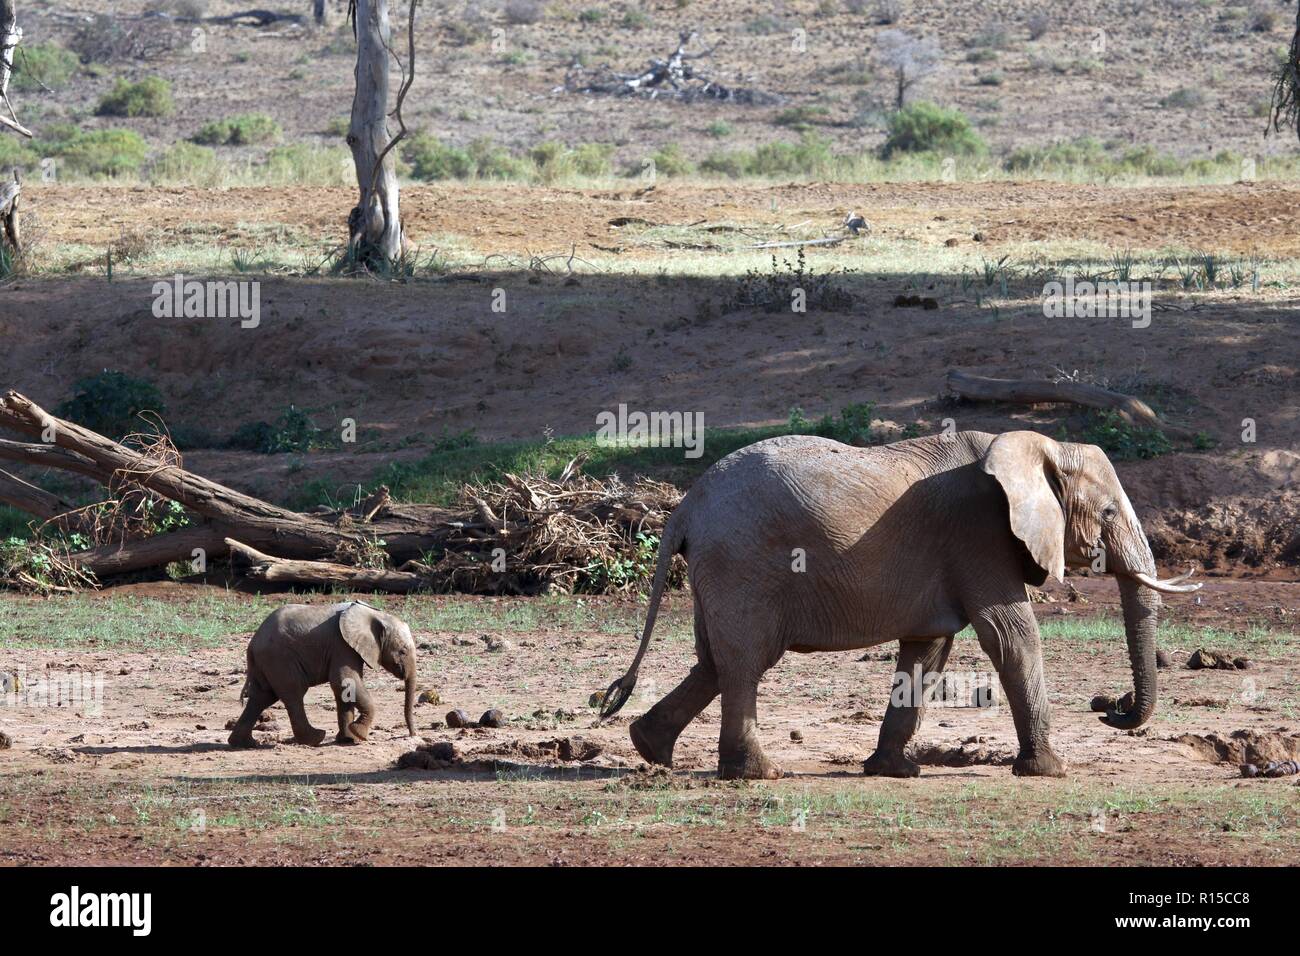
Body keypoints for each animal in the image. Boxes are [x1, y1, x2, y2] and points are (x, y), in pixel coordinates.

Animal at [228, 601, 418, 748]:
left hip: (267, 663)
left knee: (262, 697)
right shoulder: (342, 645)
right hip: (279, 659)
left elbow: (345, 689)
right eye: (402, 651)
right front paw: (358, 735)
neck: (374, 613)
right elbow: (342, 681)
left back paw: (244, 744)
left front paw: (348, 740)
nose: (411, 735)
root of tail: (252, 643)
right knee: (293, 694)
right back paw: (315, 739)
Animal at [600, 430, 1199, 780]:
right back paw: (757, 774)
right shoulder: (980, 535)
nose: (1111, 706)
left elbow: (927, 652)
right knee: (745, 662)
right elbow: (1011, 636)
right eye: (1107, 514)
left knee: (714, 661)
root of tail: (686, 505)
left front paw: (894, 771)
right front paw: (1051, 770)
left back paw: (651, 749)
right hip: (741, 563)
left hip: (721, 568)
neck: (1035, 448)